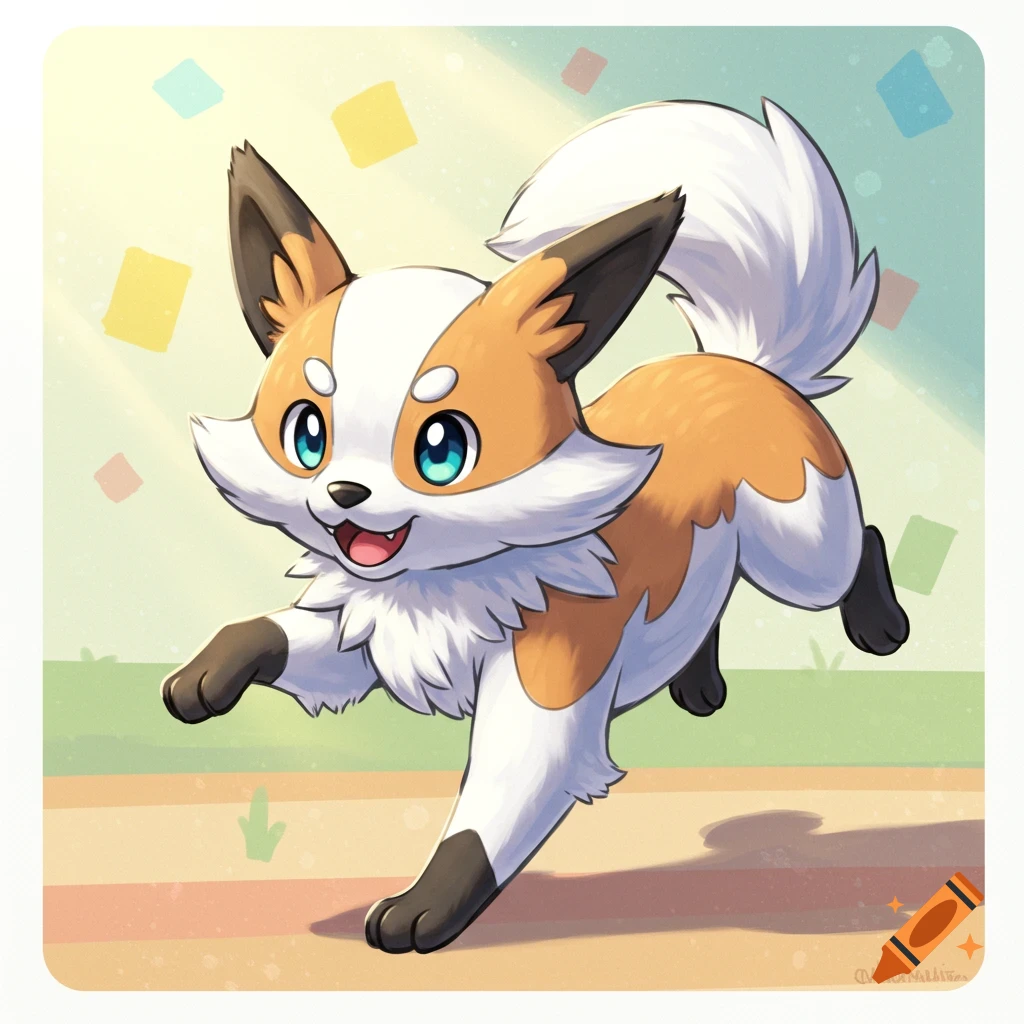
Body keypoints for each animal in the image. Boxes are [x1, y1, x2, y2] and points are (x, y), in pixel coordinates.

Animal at [162, 98, 910, 954]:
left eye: (442, 449)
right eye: (306, 436)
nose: (345, 493)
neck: (444, 584)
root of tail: (736, 362)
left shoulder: (543, 699)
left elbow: (489, 812)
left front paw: (425, 906)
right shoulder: (368, 635)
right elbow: (273, 634)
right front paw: (204, 677)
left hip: (799, 547)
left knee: (859, 549)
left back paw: (881, 625)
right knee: (708, 601)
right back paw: (696, 684)